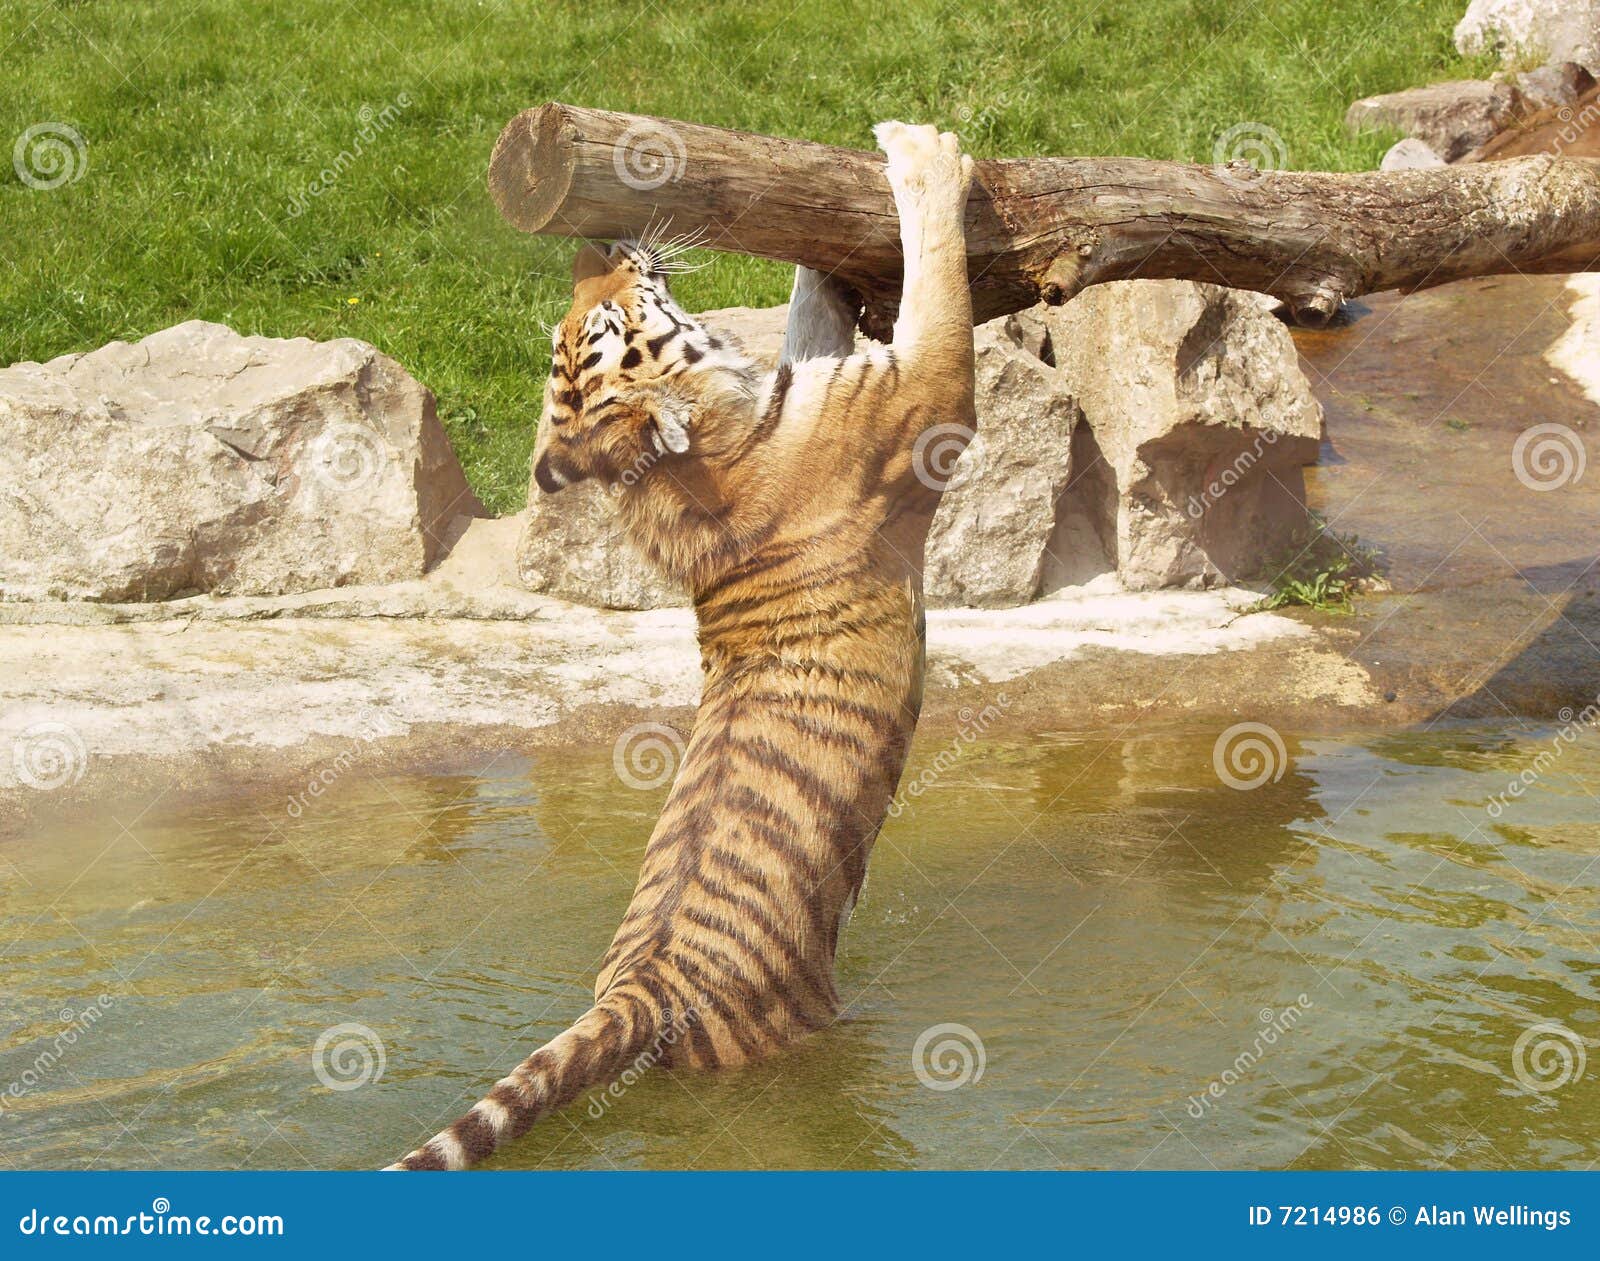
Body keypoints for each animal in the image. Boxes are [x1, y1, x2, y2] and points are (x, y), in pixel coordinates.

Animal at [389, 122, 976, 1170]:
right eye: (607, 313)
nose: (599, 245)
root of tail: (642, 989)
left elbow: (810, 320)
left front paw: (819, 258)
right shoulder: (927, 391)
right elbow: (936, 269)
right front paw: (924, 152)